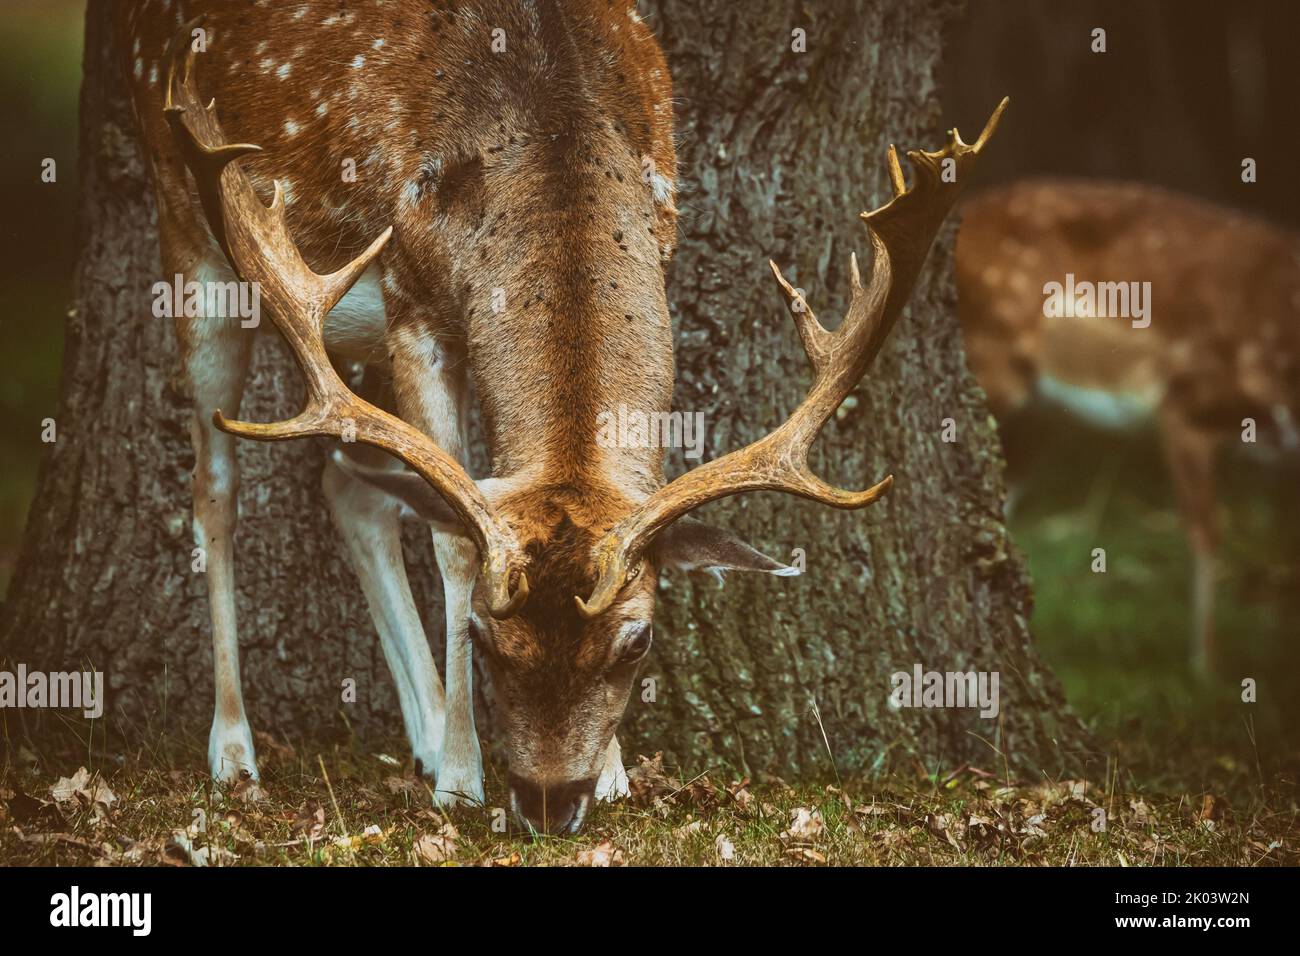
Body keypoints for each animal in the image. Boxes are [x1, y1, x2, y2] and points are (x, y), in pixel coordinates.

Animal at [122, 0, 1004, 833]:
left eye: (639, 640)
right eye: (481, 638)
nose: (549, 803)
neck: (547, 110)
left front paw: (610, 774)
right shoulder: (412, 303)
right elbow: (450, 544)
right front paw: (460, 779)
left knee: (351, 485)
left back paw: (421, 728)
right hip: (191, 234)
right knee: (216, 486)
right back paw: (236, 750)